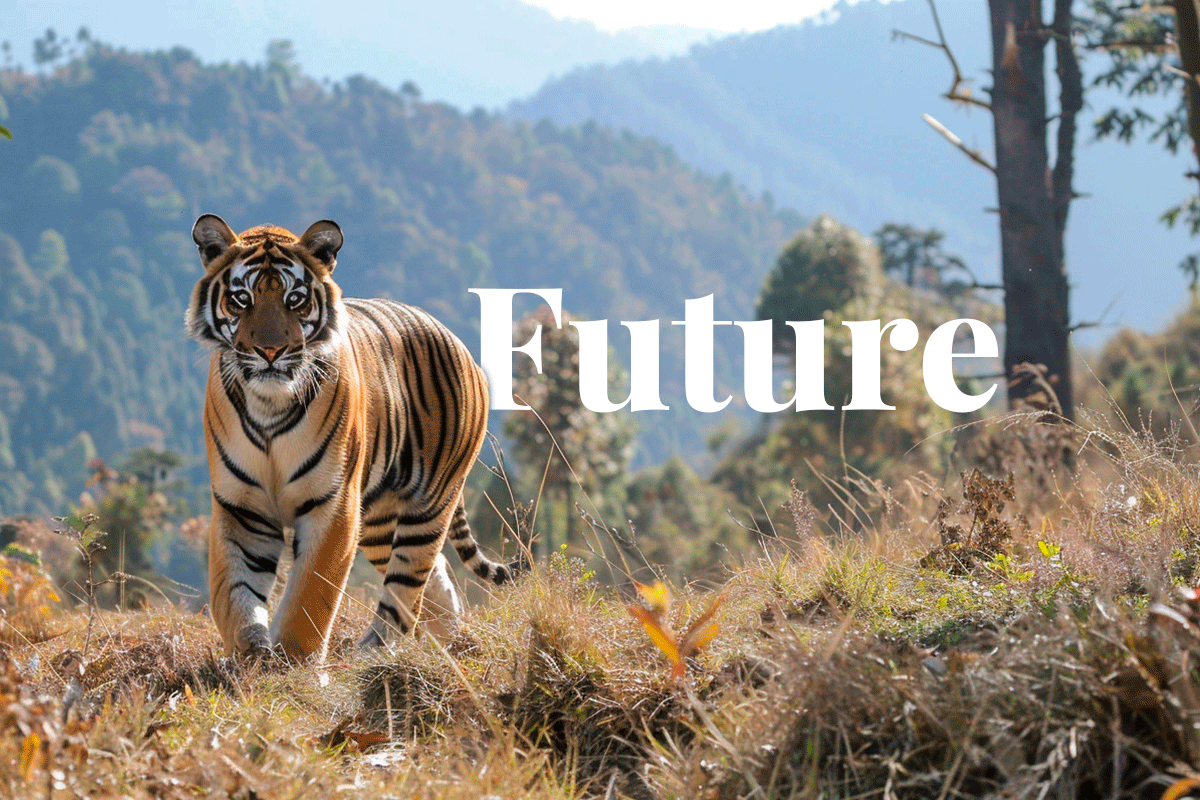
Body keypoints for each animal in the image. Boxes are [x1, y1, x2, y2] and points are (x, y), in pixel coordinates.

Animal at [186, 213, 515, 661]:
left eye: (294, 300)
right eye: (241, 299)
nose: (269, 352)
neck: (269, 404)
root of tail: (457, 341)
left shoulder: (333, 504)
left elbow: (309, 596)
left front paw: (294, 661)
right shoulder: (241, 507)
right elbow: (232, 594)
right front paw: (250, 654)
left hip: (430, 503)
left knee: (407, 585)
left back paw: (374, 653)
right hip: (379, 520)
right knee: (436, 576)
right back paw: (448, 643)